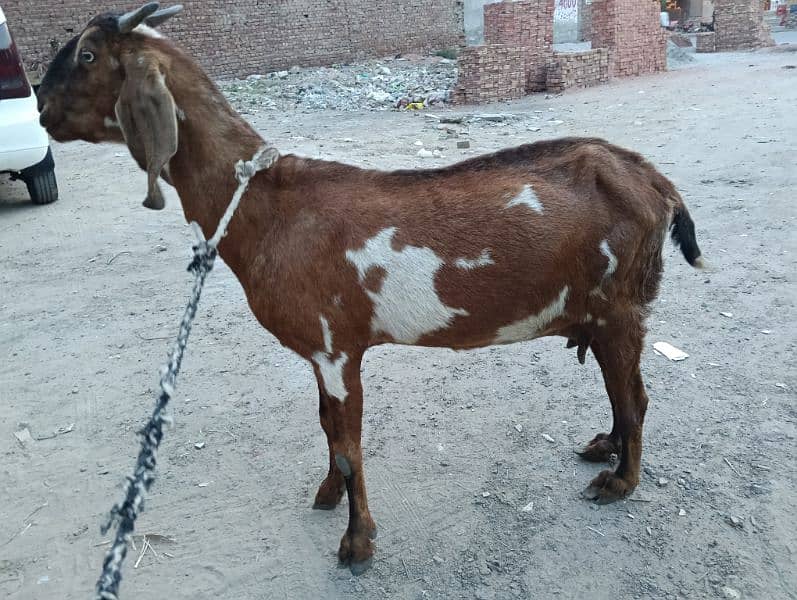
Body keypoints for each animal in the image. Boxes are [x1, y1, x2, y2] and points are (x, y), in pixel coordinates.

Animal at [38, 2, 706, 573]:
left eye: (88, 54)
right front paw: (328, 494)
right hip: (602, 313)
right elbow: (327, 430)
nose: (39, 106)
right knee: (619, 392)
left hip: (621, 306)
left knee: (636, 396)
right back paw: (605, 448)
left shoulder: (337, 349)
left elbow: (348, 444)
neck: (266, 205)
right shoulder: (320, 351)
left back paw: (620, 481)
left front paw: (357, 543)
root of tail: (653, 180)